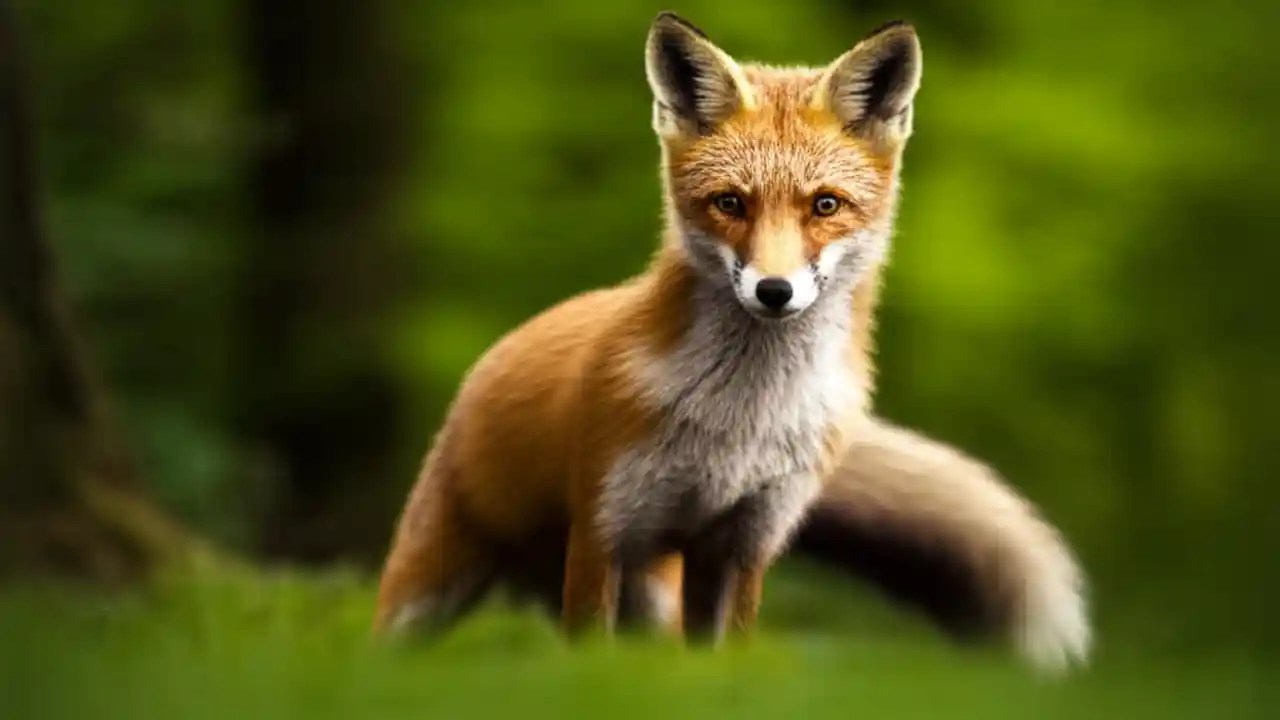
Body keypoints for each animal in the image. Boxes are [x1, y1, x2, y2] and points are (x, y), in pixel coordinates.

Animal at [375, 12, 1090, 672]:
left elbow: (726, 655)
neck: (739, 421)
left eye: (825, 205)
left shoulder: (743, 543)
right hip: (429, 589)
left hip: (655, 597)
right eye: (729, 203)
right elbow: (591, 654)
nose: (774, 291)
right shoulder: (605, 529)